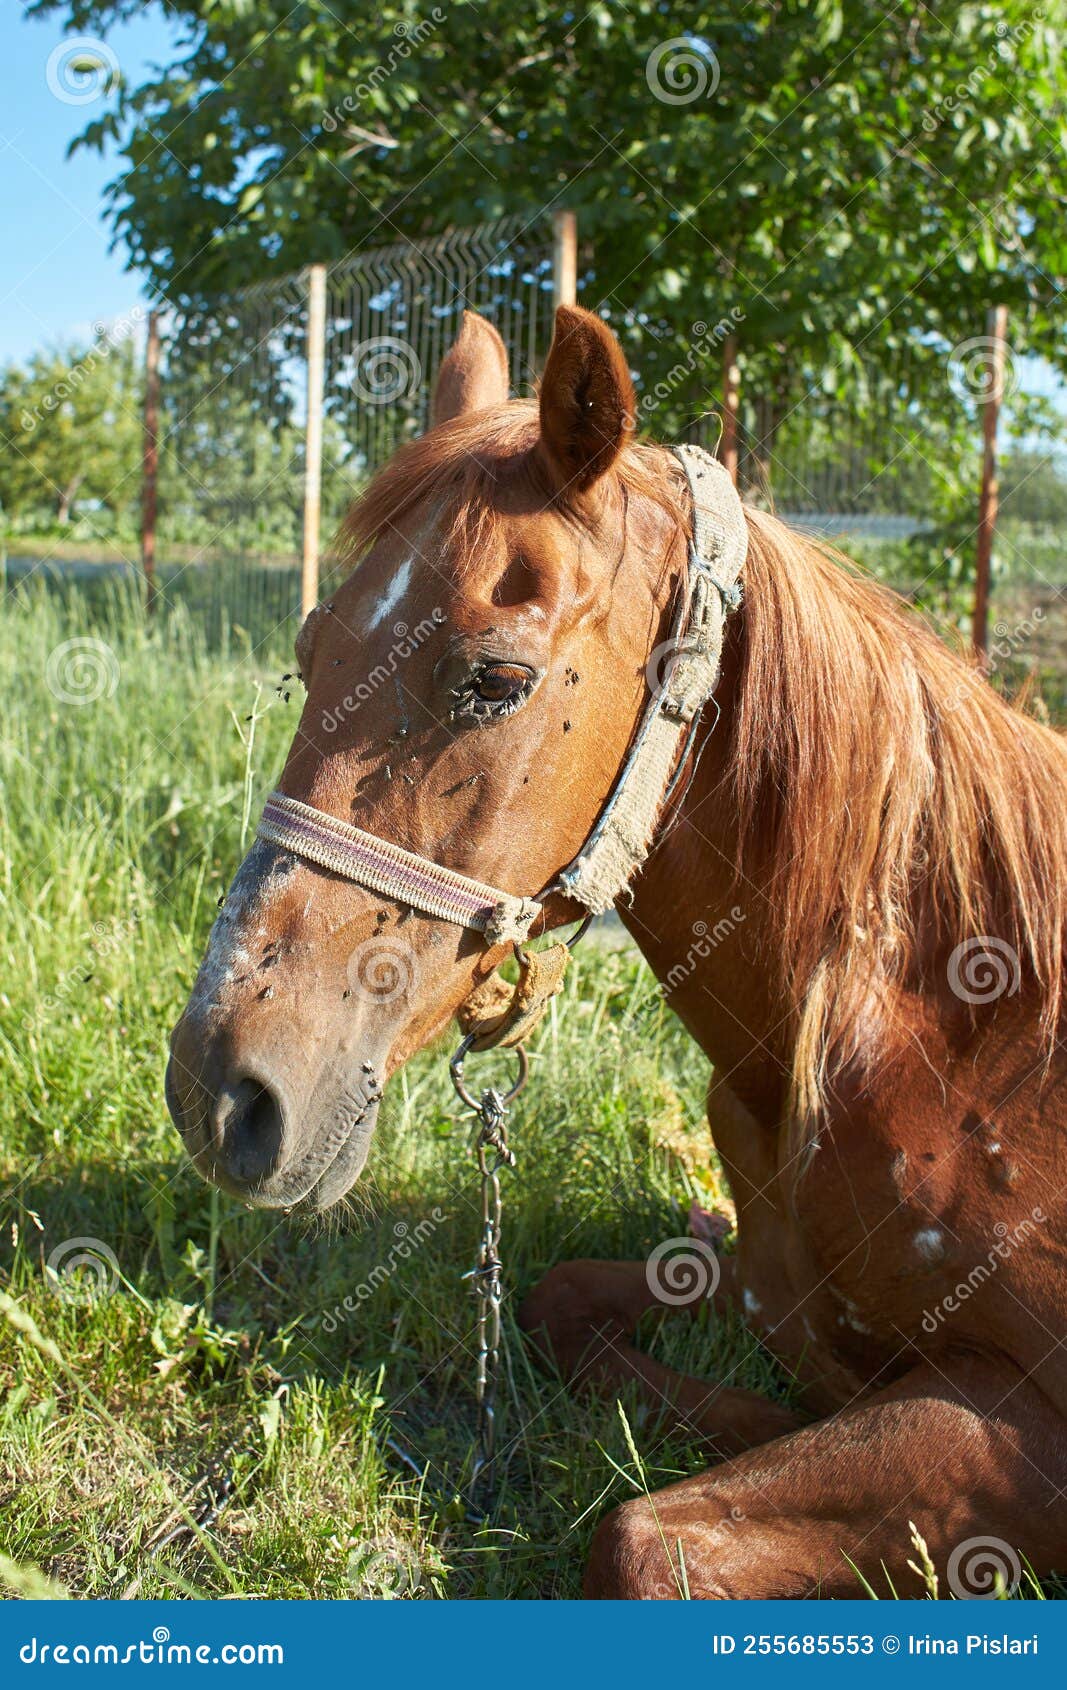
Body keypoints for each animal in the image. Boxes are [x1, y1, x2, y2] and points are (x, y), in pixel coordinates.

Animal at [166, 304, 1067, 1600]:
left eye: (496, 678)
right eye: (310, 644)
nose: (218, 1092)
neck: (946, 1036)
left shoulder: (1027, 1422)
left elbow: (639, 1537)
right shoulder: (752, 1284)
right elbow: (563, 1302)